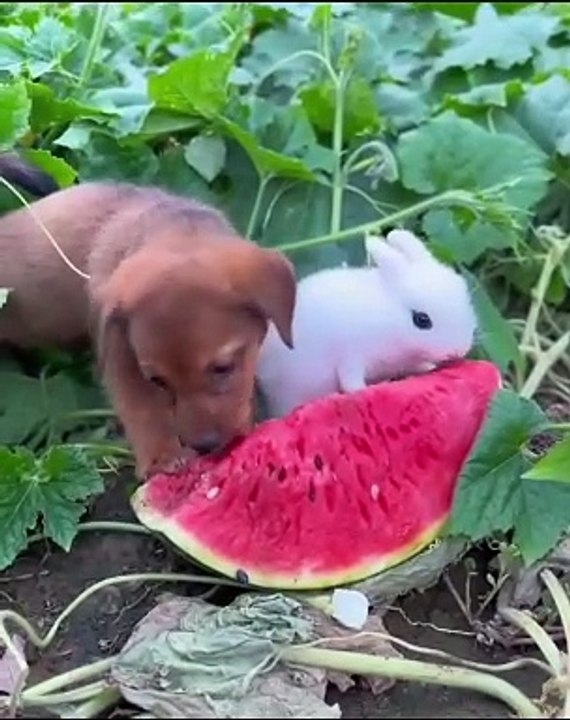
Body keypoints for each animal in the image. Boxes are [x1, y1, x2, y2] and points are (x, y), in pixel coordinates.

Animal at [255, 228, 478, 419]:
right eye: (421, 320)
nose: (459, 351)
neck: (389, 320)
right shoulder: (351, 355)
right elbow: (350, 382)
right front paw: (366, 390)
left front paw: (427, 367)